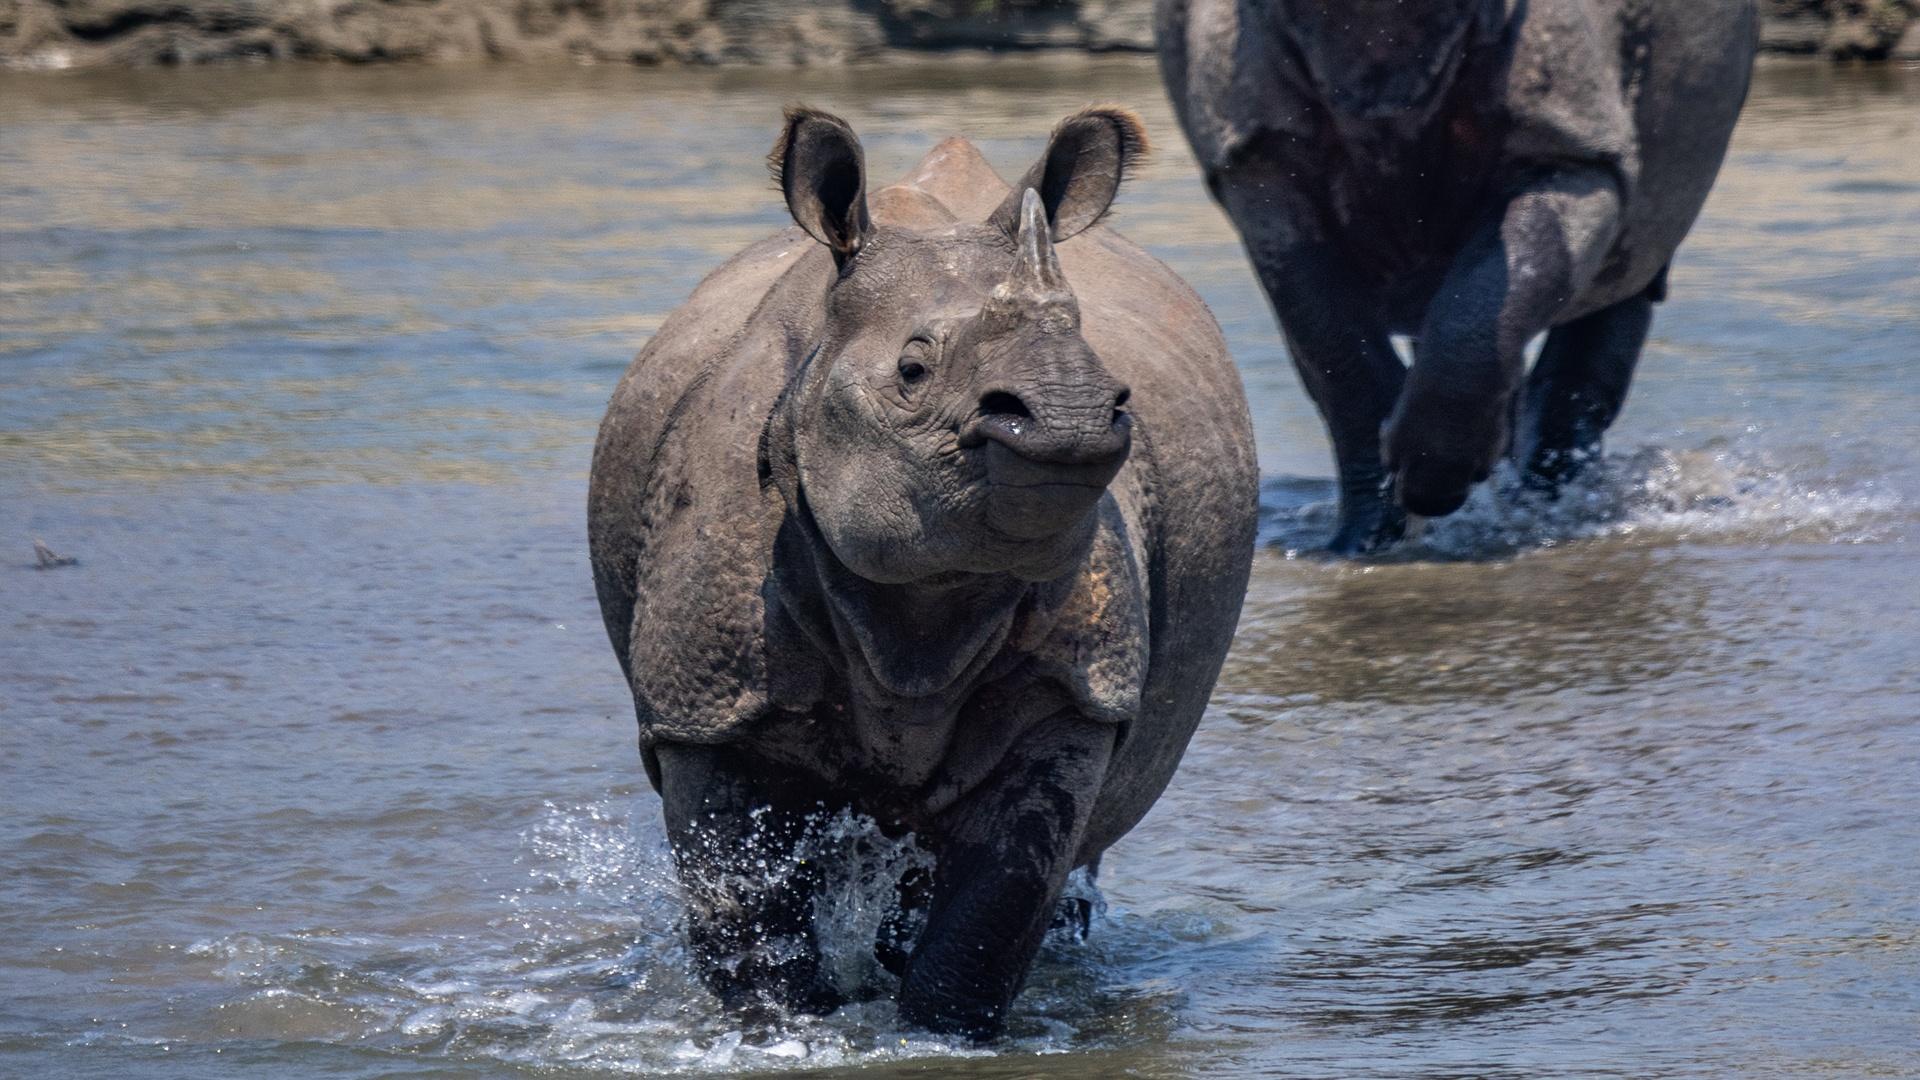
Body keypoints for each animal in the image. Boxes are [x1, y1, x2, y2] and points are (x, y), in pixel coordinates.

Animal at [587, 106, 1256, 1038]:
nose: (1075, 417)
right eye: (912, 370)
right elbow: (746, 911)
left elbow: (989, 919)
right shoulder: (706, 702)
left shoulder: (1074, 691)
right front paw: (783, 1032)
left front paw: (936, 1035)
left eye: (1091, 351)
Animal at [1157, 0, 1758, 552]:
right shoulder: (1256, 162)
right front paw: (1368, 538)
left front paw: (1431, 485)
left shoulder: (1572, 151)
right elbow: (1330, 339)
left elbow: (1509, 273)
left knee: (1631, 271)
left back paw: (1553, 513)